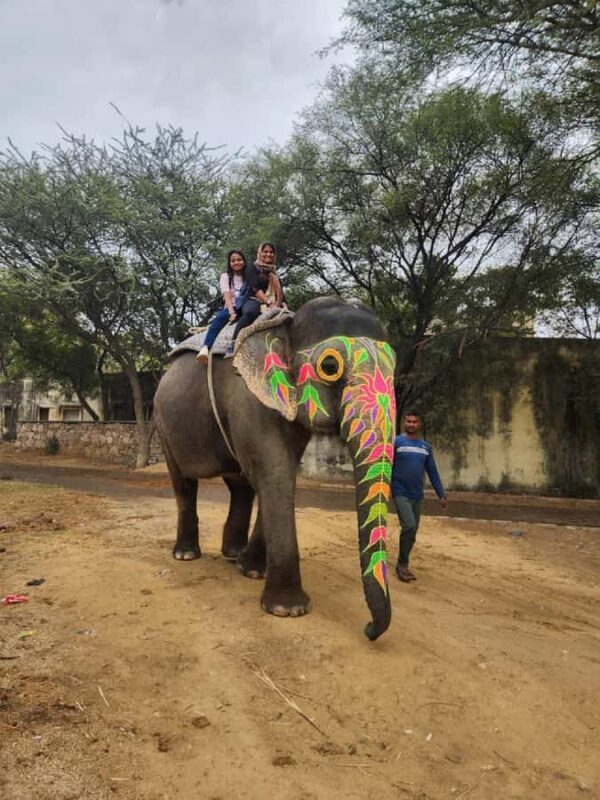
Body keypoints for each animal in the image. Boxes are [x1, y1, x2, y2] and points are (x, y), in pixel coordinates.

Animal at [154, 297, 397, 640]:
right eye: (330, 367)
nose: (368, 629)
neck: (287, 326)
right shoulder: (248, 398)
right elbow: (275, 473)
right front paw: (288, 610)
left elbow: (277, 476)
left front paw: (252, 570)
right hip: (163, 422)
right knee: (185, 484)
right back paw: (186, 555)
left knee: (241, 487)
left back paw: (233, 554)